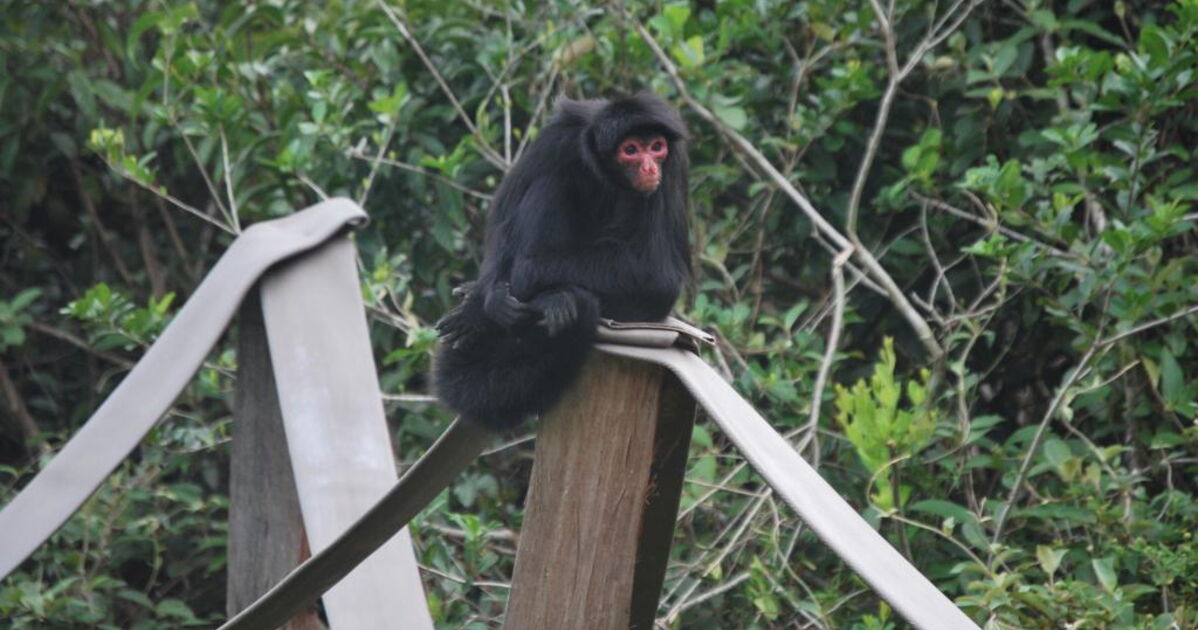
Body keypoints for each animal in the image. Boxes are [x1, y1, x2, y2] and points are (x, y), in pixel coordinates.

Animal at [434, 93, 690, 431]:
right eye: (631, 150)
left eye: (656, 146)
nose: (649, 168)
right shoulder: (558, 136)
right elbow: (504, 212)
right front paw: (489, 300)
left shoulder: (670, 169)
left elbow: (658, 280)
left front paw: (494, 299)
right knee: (551, 183)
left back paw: (553, 299)